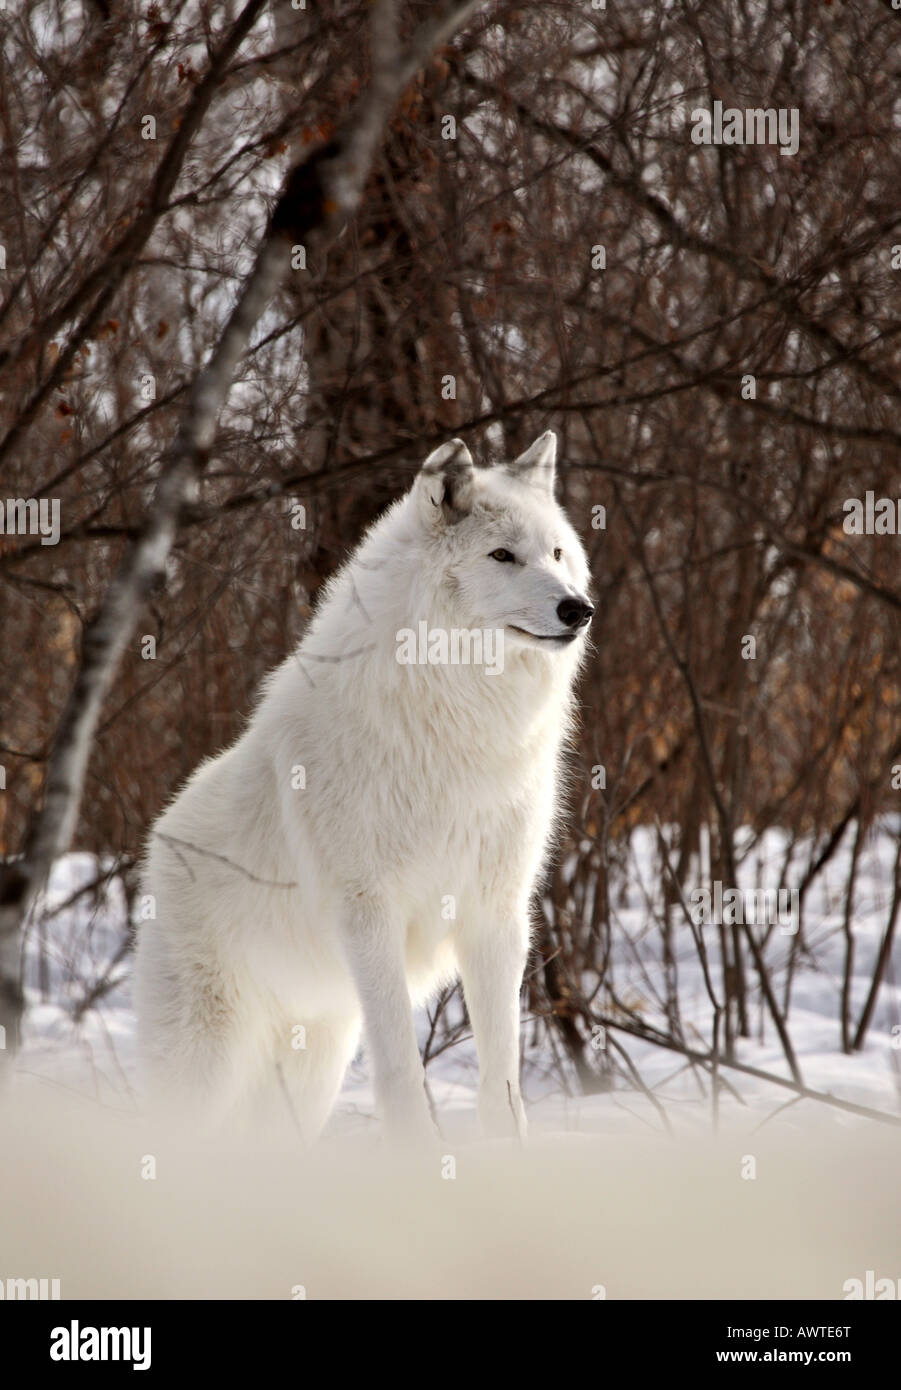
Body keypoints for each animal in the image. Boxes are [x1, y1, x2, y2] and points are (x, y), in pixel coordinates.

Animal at [134, 431, 593, 1144]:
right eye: (502, 555)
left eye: (557, 553)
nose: (578, 609)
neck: (457, 718)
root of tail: (160, 836)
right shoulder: (369, 913)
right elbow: (402, 1073)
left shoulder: (496, 912)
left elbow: (502, 1079)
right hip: (204, 1063)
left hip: (312, 1062)